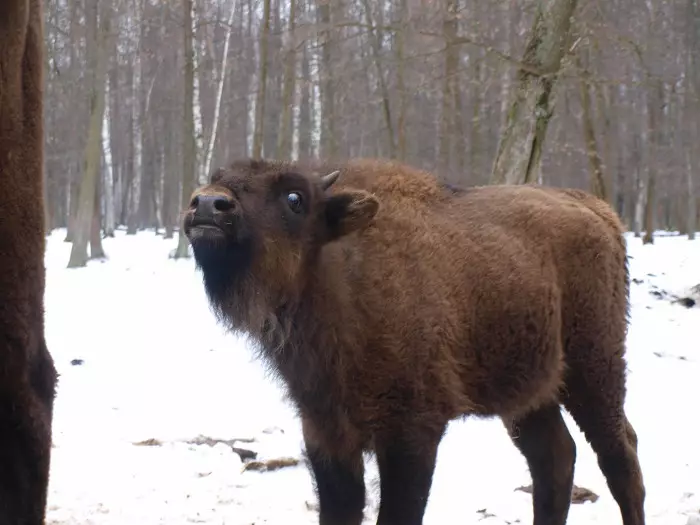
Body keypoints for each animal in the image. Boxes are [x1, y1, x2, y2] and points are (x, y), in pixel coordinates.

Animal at [182, 157, 644, 524]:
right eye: (218, 176)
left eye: (295, 198)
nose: (207, 204)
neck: (338, 274)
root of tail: (598, 210)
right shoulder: (326, 434)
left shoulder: (412, 433)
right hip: (528, 395)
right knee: (554, 459)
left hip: (595, 370)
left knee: (621, 460)